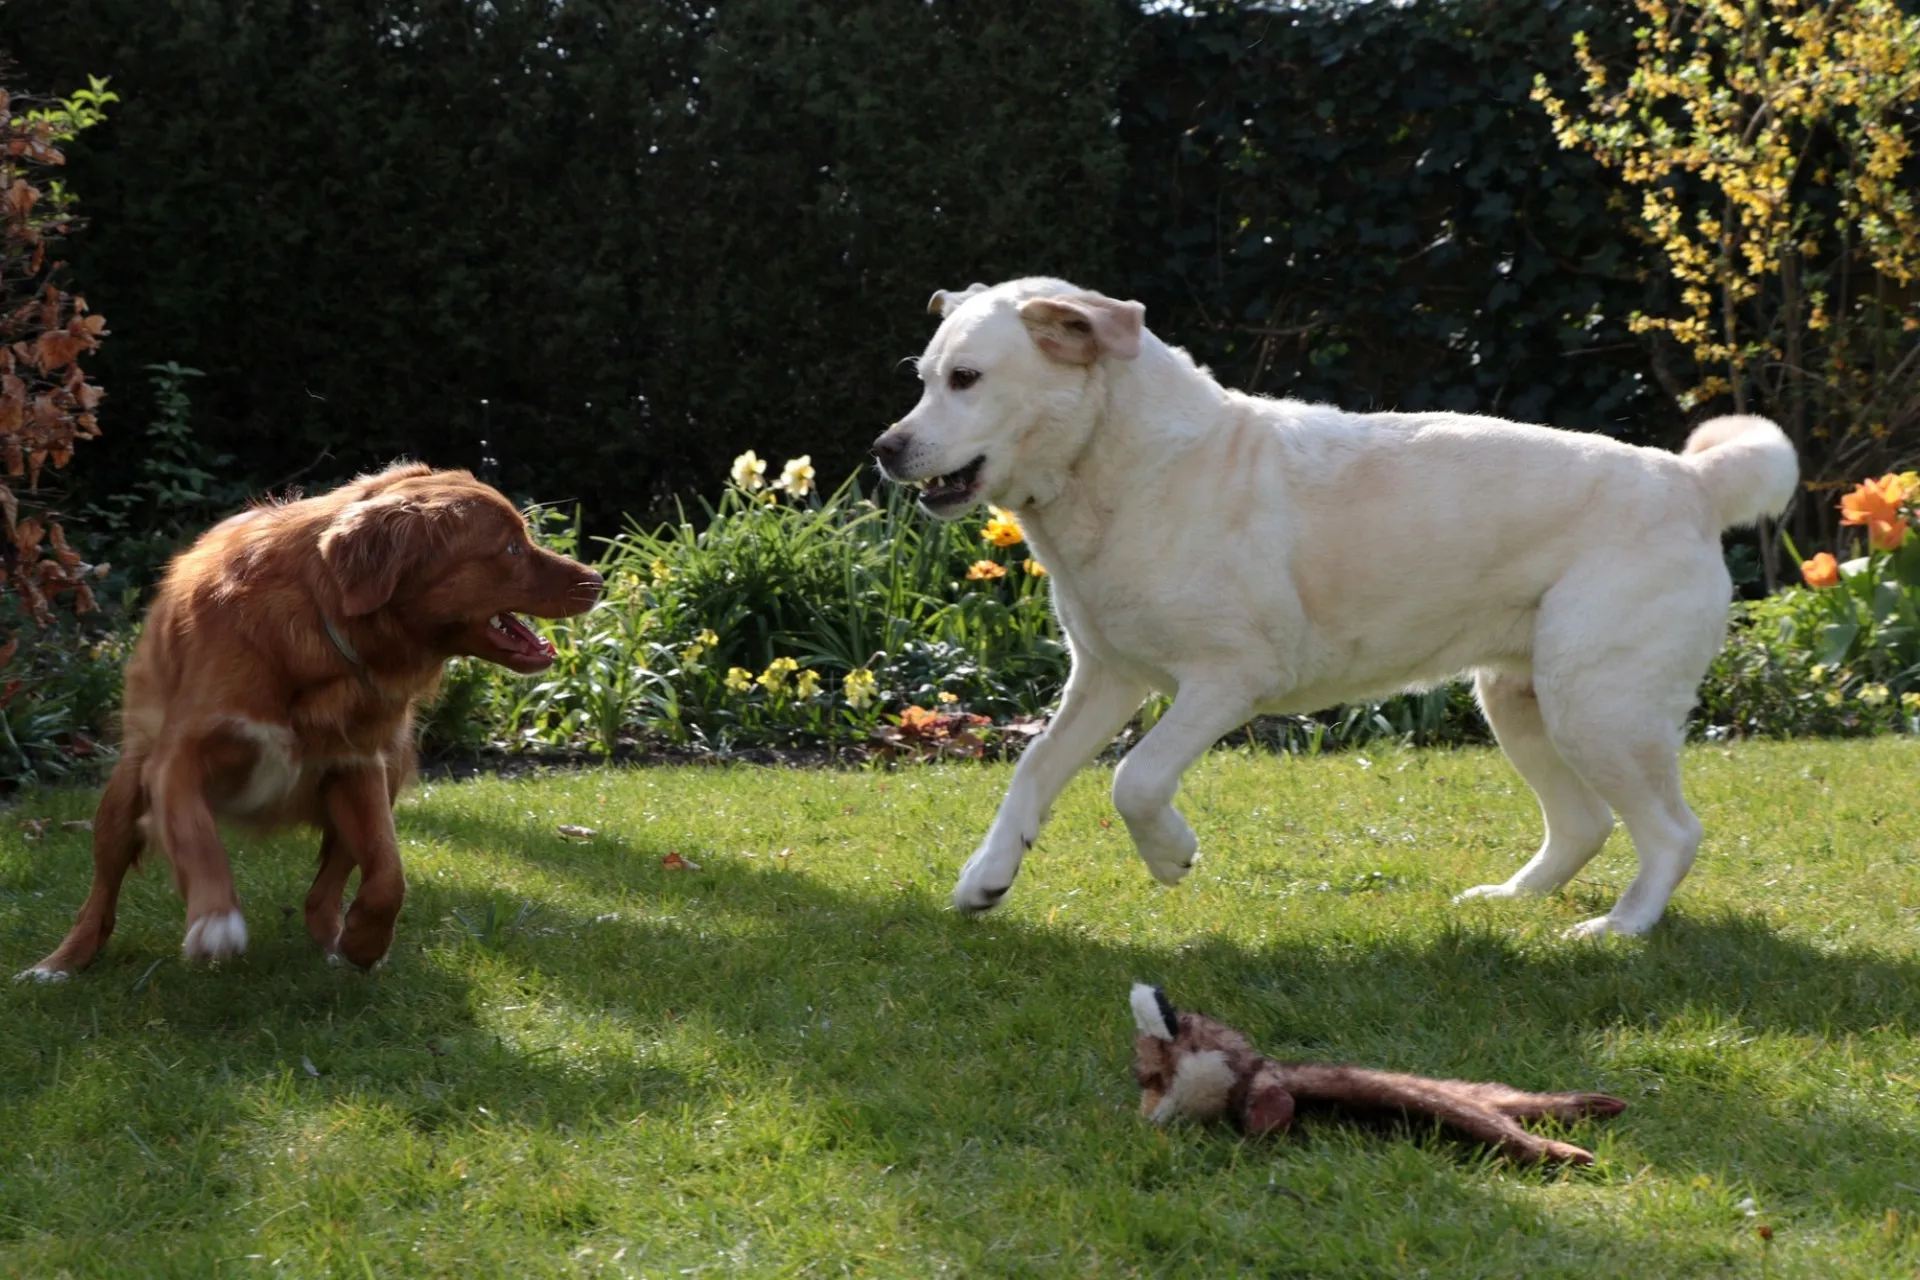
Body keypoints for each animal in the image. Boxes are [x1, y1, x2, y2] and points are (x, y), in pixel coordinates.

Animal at [13, 466, 599, 974]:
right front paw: (215, 919)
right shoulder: (178, 758)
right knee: (101, 892)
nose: (597, 578)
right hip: (121, 795)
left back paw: (338, 941)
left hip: (388, 769)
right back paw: (59, 965)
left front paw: (365, 942)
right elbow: (197, 834)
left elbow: (388, 875)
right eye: (511, 548)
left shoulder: (358, 764)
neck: (324, 624)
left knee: (326, 888)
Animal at [875, 278, 1797, 940]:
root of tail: (1691, 479)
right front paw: (987, 877)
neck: (1120, 467)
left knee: (1672, 831)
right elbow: (1033, 770)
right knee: (1584, 823)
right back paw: (1510, 900)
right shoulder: (1105, 675)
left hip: (1599, 705)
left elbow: (1135, 780)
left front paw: (1172, 858)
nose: (883, 448)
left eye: (965, 379)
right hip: (1523, 700)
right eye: (921, 380)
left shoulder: (1229, 677)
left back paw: (1619, 929)